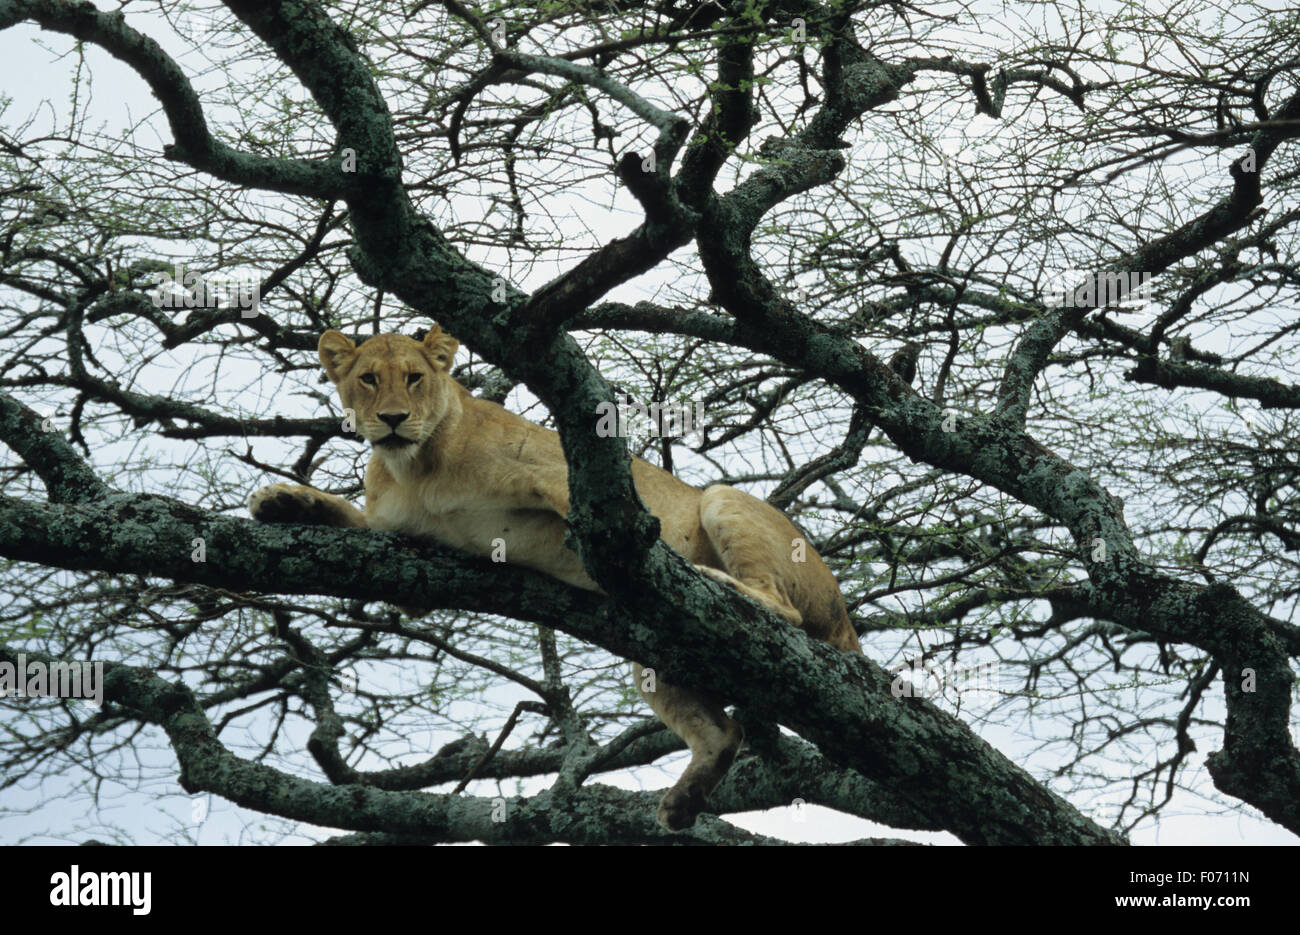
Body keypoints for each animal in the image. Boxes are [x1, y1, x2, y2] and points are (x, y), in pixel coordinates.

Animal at [249, 325, 862, 831]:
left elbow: (608, 529)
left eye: (415, 378)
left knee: (781, 610)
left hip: (722, 500)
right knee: (724, 732)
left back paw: (712, 581)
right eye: (369, 379)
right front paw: (283, 502)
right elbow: (349, 520)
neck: (415, 466)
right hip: (656, 656)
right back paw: (681, 805)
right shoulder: (405, 548)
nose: (395, 419)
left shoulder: (563, 477)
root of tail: (848, 626)